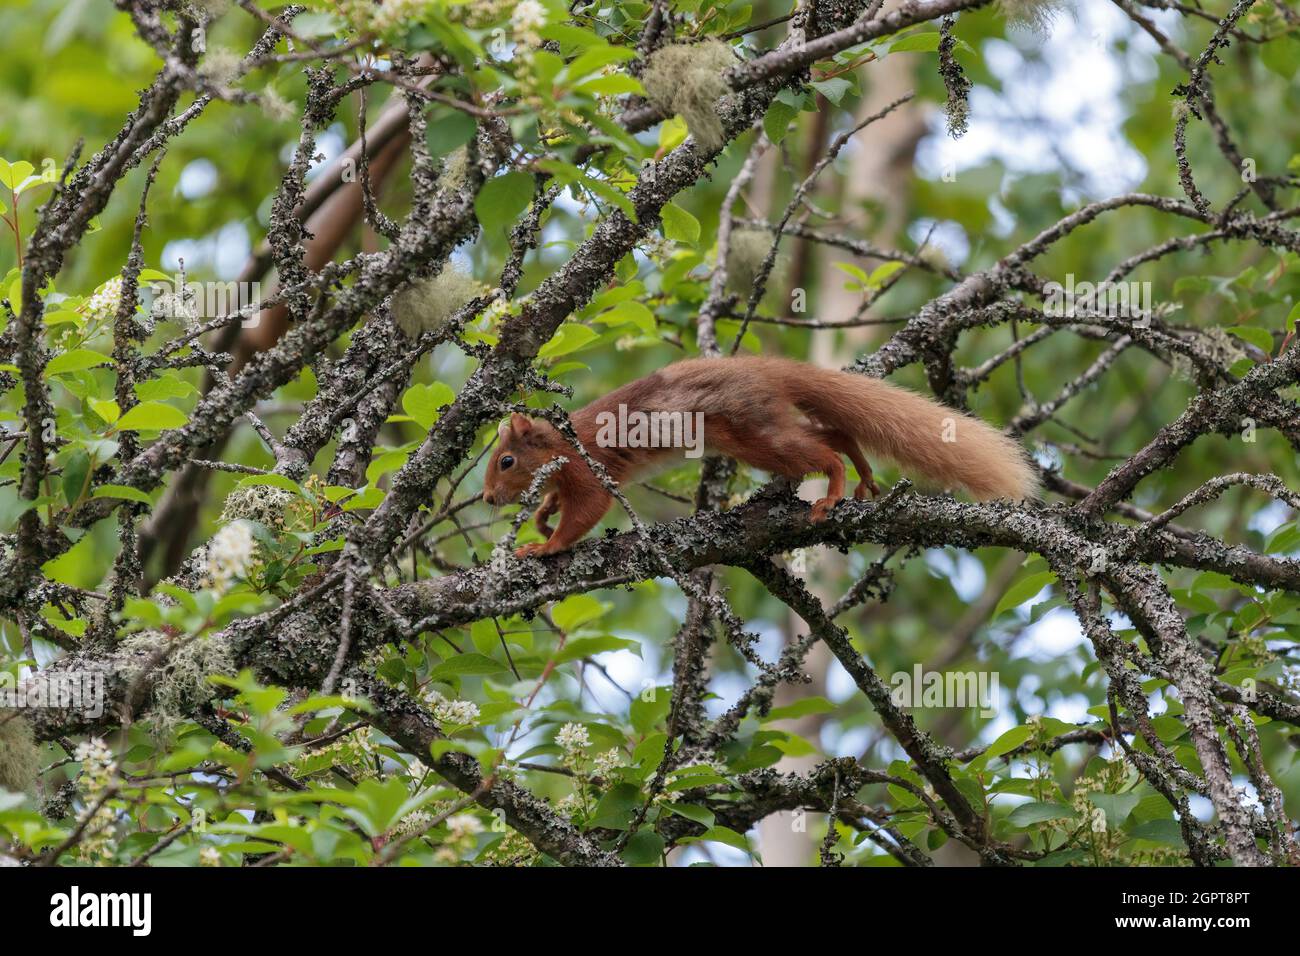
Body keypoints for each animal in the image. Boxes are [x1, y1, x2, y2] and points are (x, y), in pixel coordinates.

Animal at [483, 357, 1038, 557]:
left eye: (505, 461)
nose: (487, 497)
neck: (559, 442)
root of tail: (768, 369)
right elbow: (560, 502)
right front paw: (542, 513)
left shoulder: (586, 467)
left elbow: (587, 511)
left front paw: (544, 546)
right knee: (835, 432)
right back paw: (860, 473)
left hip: (758, 439)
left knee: (822, 450)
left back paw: (834, 490)